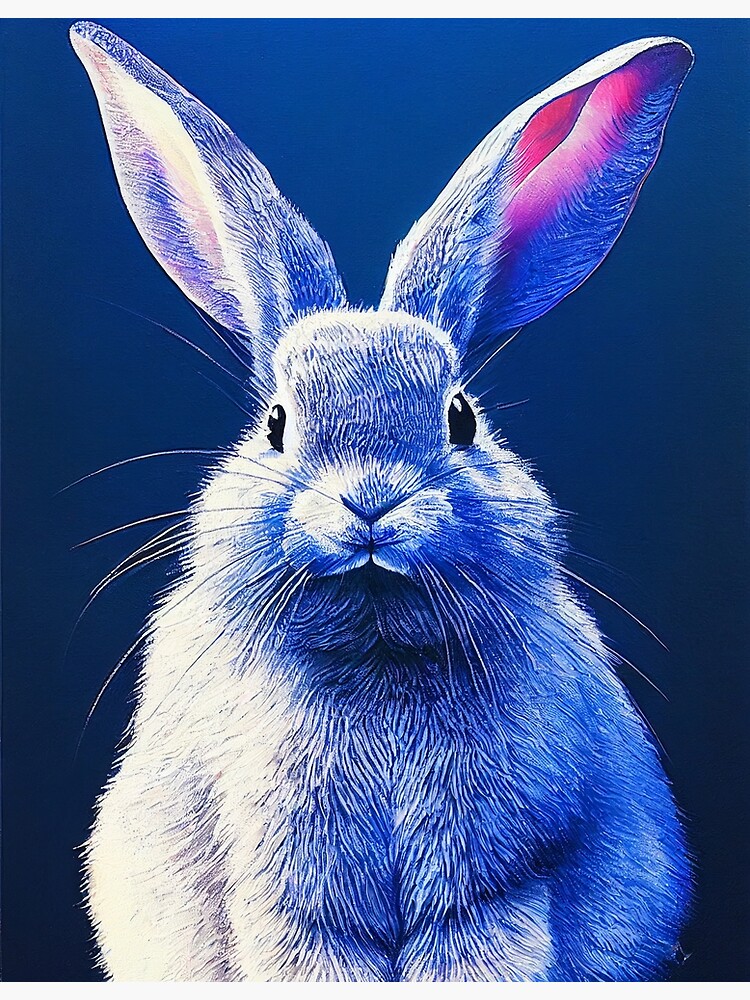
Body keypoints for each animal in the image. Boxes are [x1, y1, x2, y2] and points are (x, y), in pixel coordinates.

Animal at [70, 20, 693, 982]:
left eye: (460, 417)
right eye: (277, 423)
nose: (371, 503)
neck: (376, 651)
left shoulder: (494, 887)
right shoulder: (288, 896)